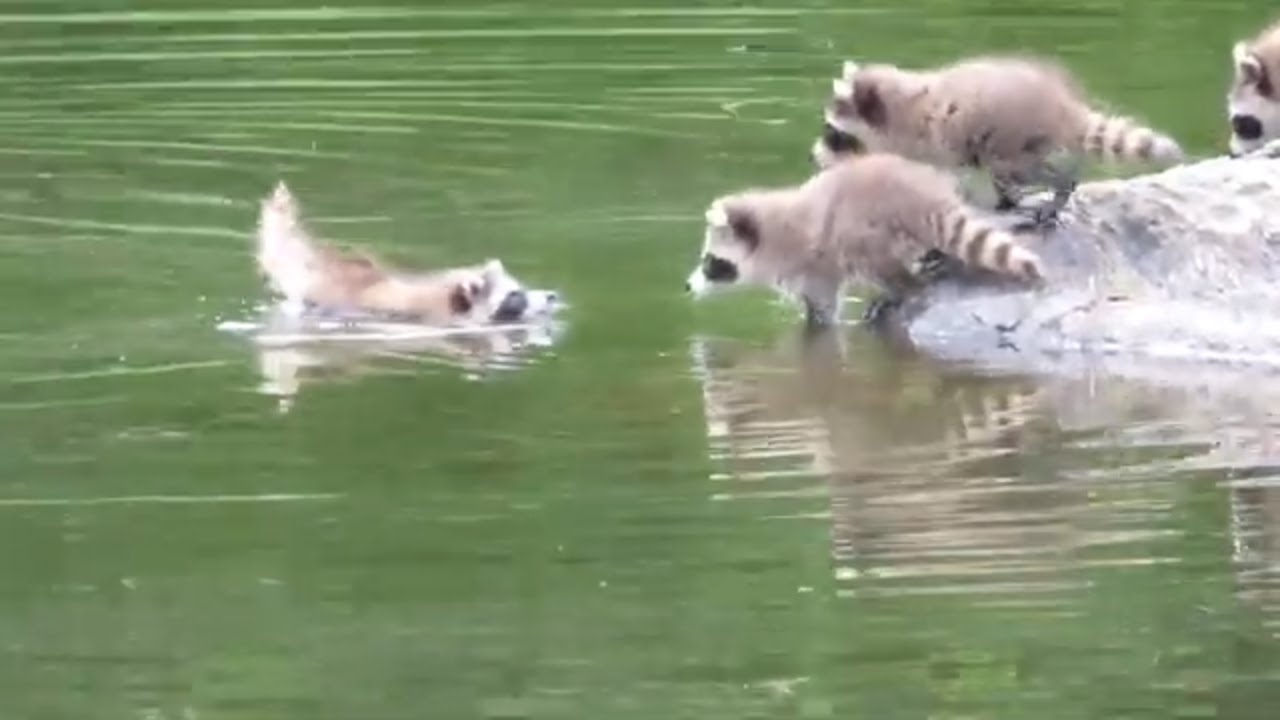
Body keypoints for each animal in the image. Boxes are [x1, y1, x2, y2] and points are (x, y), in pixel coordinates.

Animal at [684, 153, 1045, 327]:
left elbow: (823, 313)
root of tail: (920, 195)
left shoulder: (814, 267)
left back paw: (901, 289)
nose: (686, 287)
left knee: (887, 270)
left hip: (862, 236)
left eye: (710, 262)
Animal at [816, 55, 1185, 228]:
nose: (814, 159)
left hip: (1012, 141)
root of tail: (1063, 108)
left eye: (834, 133)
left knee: (1022, 170)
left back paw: (1056, 189)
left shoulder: (925, 142)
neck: (895, 107)